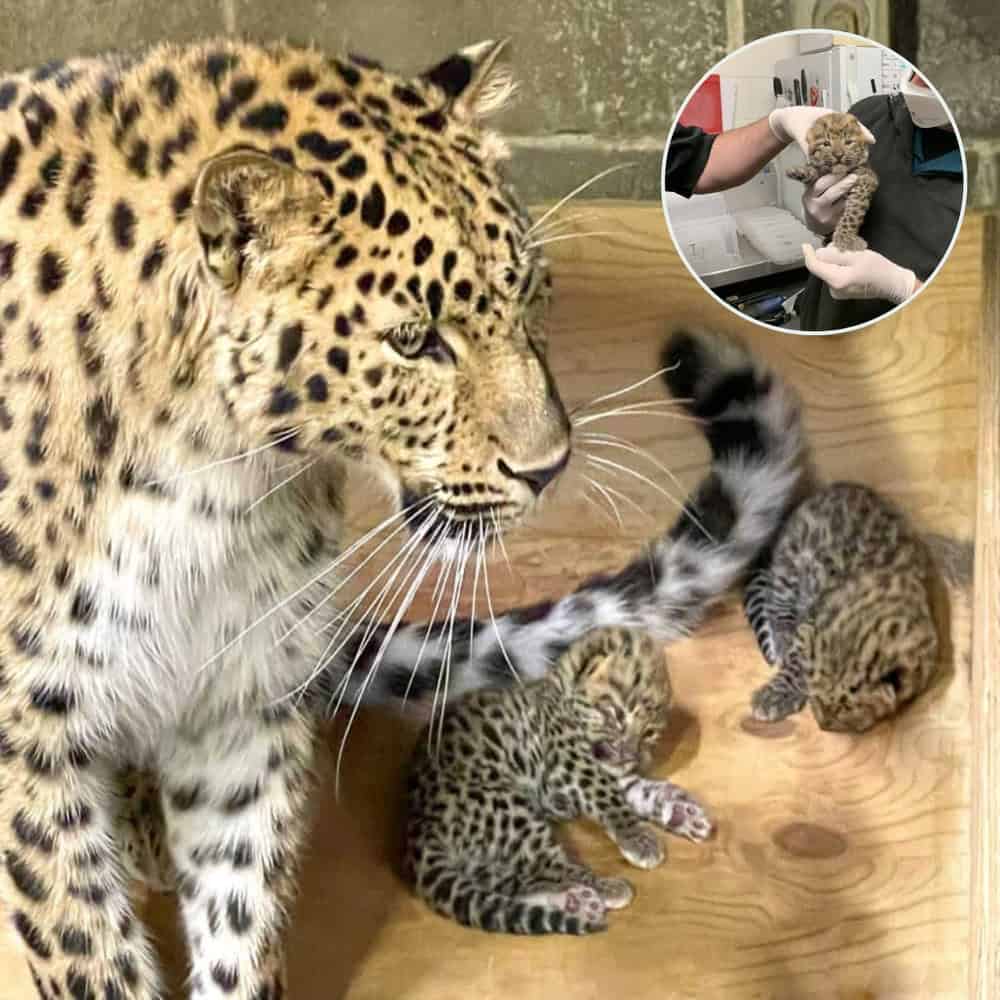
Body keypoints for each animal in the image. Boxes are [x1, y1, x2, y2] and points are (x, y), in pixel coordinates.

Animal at [405, 626, 713, 935]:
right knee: (552, 865)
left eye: (649, 732)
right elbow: (610, 800)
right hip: (506, 809)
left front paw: (682, 813)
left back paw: (574, 900)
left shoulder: (612, 773)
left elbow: (646, 791)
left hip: (485, 852)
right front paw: (640, 840)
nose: (629, 755)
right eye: (616, 715)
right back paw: (606, 889)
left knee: (514, 882)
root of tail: (419, 823)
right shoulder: (570, 768)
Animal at [741, 481, 970, 733]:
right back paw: (783, 638)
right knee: (778, 602)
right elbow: (796, 663)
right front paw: (775, 695)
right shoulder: (810, 626)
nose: (823, 726)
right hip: (790, 560)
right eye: (817, 696)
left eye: (844, 710)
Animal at [786, 111, 879, 252]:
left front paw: (844, 237)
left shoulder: (866, 180)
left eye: (848, 142)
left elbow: (852, 214)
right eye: (826, 144)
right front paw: (799, 171)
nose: (838, 155)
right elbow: (814, 170)